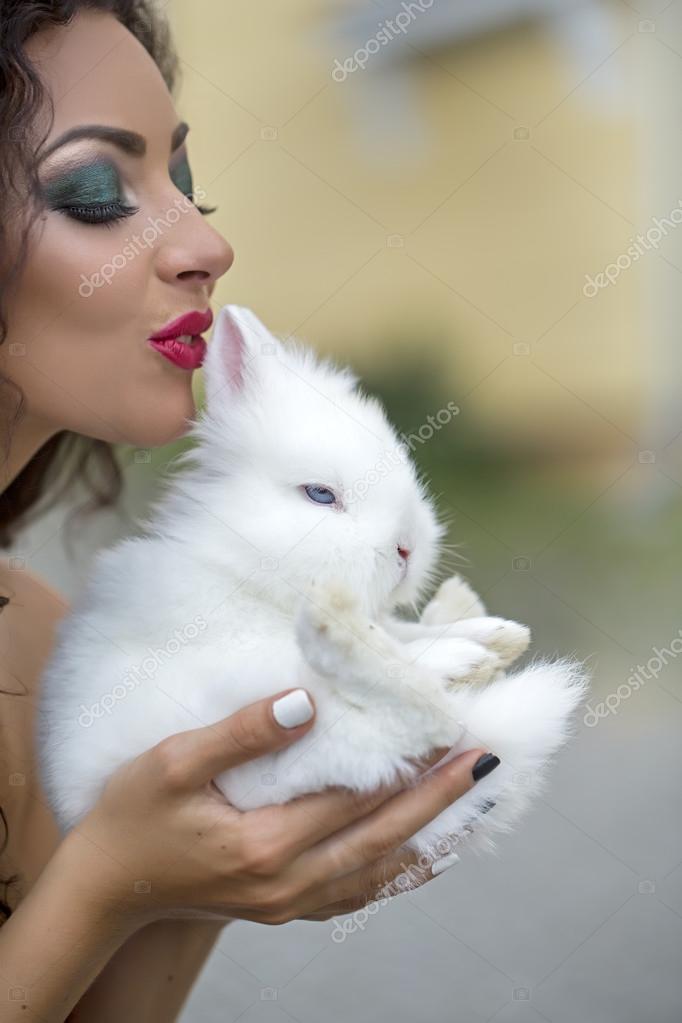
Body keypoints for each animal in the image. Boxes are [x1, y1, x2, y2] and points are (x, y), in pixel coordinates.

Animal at [38, 304, 589, 871]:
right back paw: (426, 651)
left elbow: (397, 632)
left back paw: (485, 640)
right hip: (275, 766)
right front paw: (460, 651)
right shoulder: (241, 663)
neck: (243, 568)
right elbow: (376, 657)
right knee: (419, 715)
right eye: (321, 494)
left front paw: (495, 633)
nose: (407, 550)